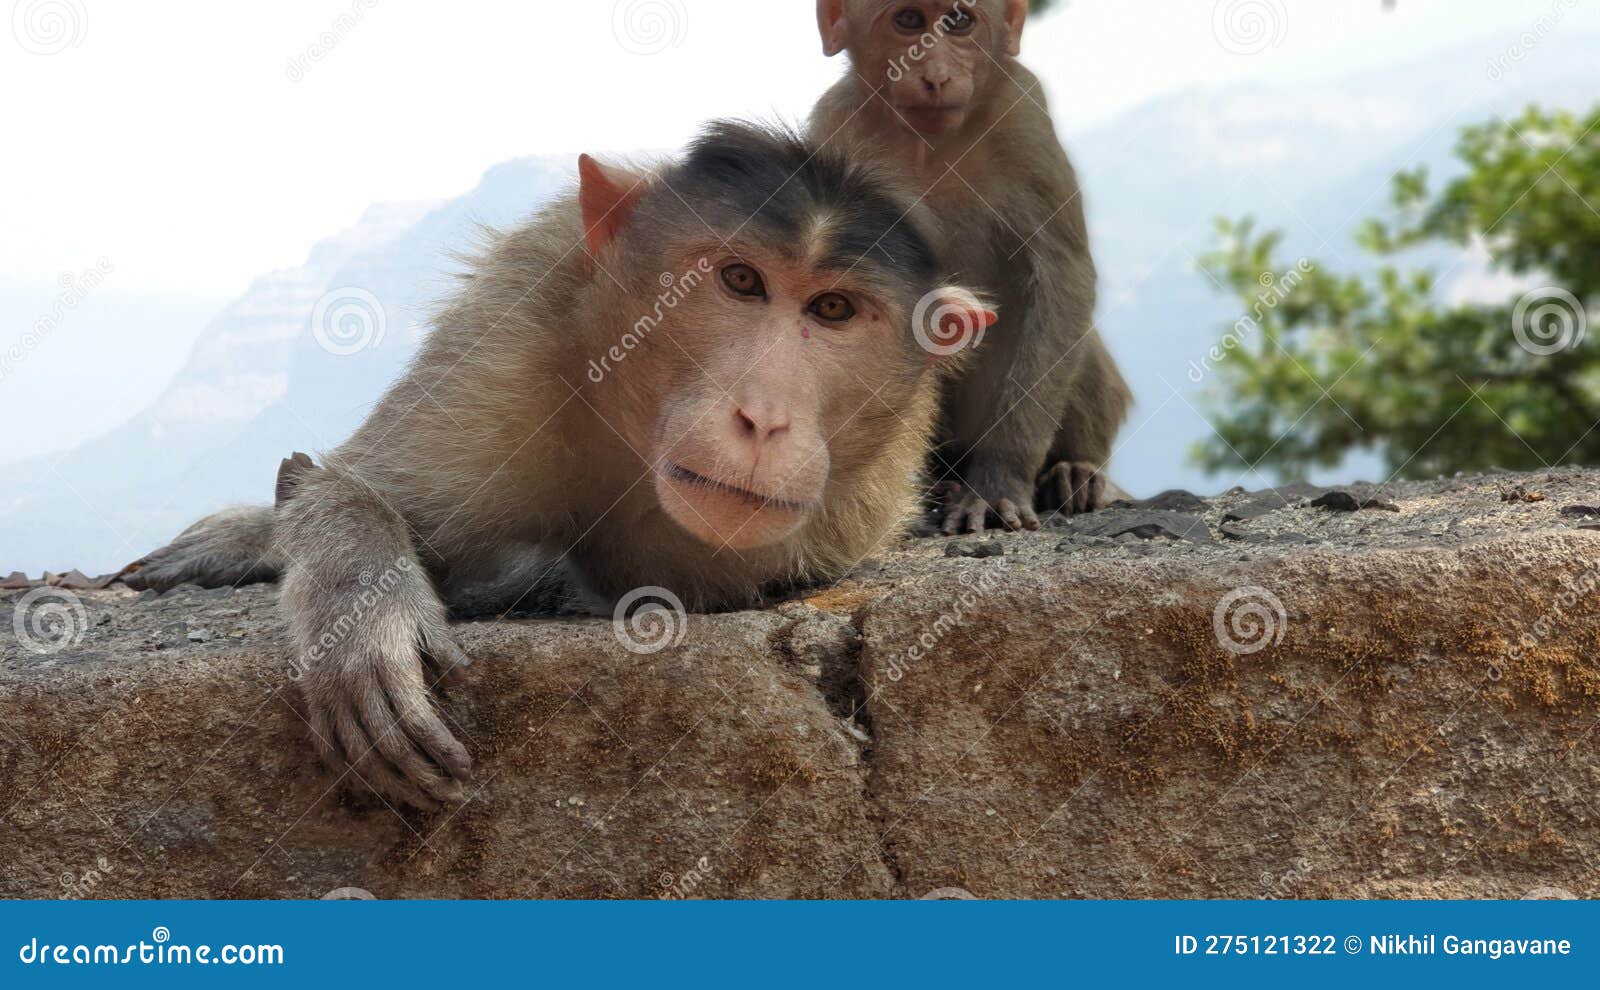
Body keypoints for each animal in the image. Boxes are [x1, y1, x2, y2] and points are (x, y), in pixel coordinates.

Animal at [121, 121, 995, 809]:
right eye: (741, 281)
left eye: (834, 309)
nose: (765, 417)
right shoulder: (508, 340)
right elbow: (345, 487)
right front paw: (365, 621)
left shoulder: (840, 521)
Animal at [809, 0, 1132, 534]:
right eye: (907, 21)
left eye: (959, 20)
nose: (937, 75)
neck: (930, 142)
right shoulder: (833, 129)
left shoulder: (1025, 116)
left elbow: (1064, 278)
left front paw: (998, 483)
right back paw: (938, 484)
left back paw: (1074, 470)